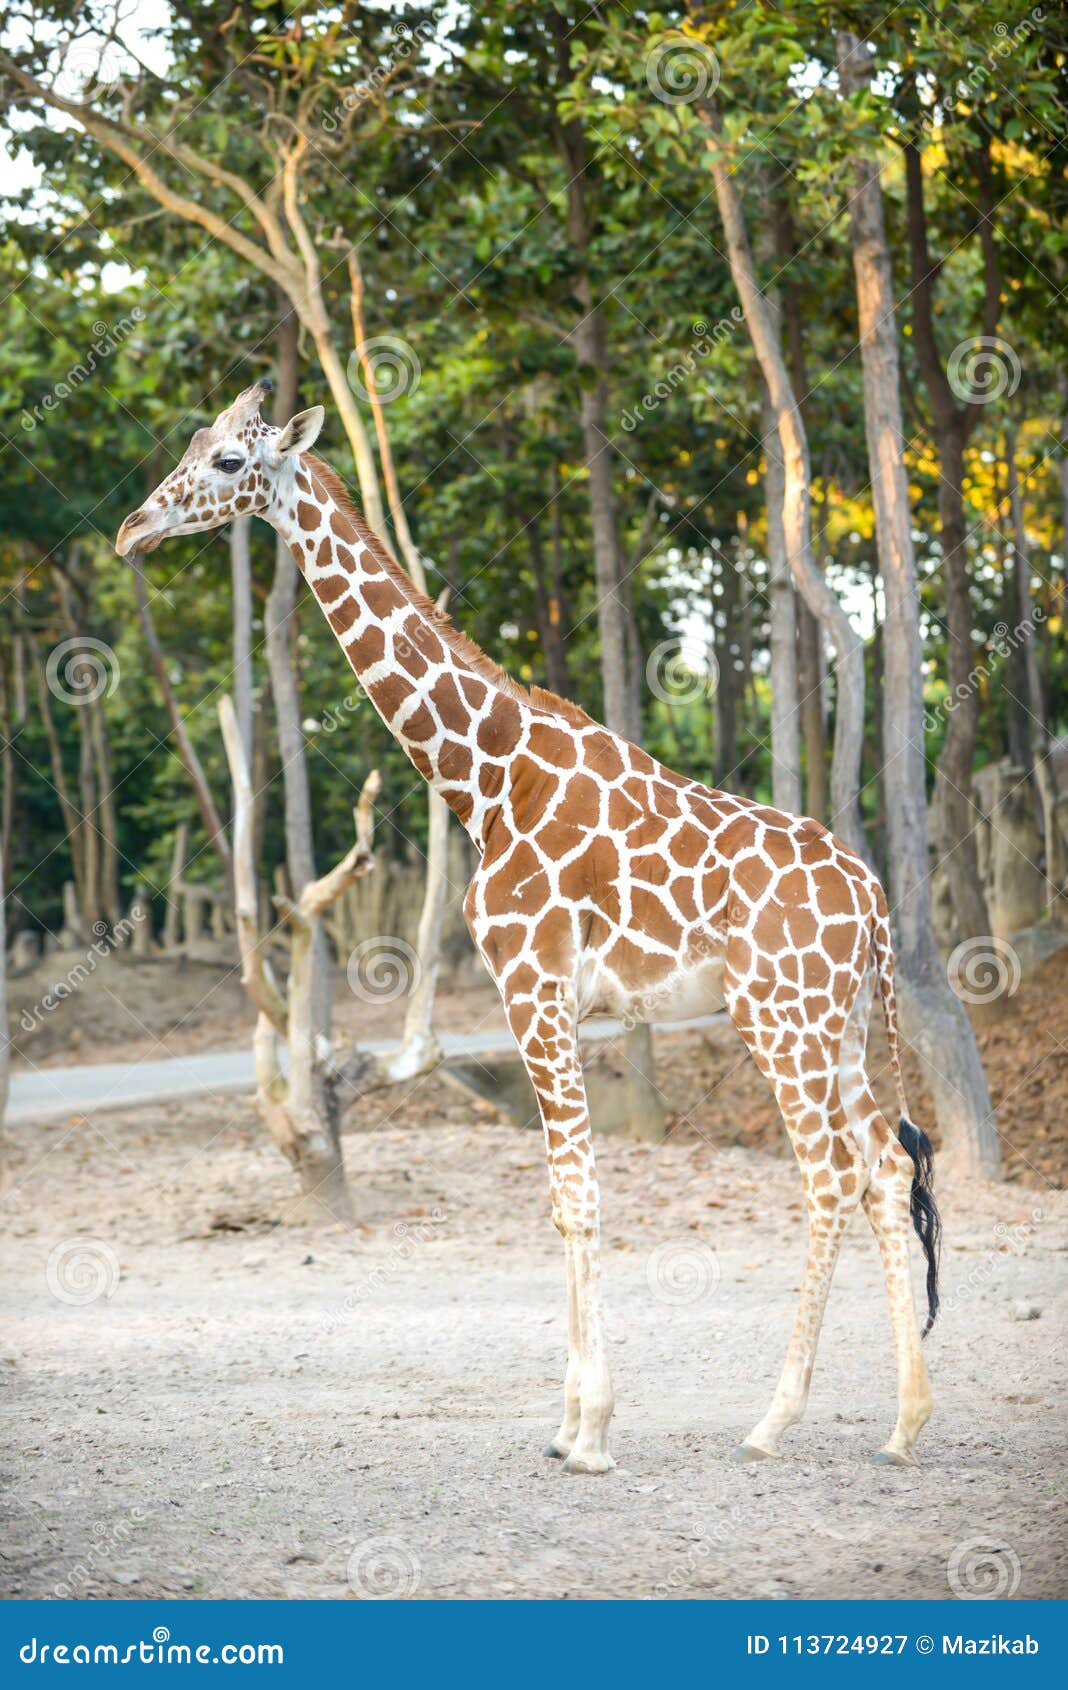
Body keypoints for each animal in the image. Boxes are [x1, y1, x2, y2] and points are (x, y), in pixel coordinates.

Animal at [117, 382, 942, 1473]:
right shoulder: (552, 1004)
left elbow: (578, 1196)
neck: (488, 780)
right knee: (886, 1168)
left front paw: (591, 1430)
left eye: (224, 463)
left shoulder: (534, 990)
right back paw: (904, 1422)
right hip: (838, 1023)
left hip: (780, 1016)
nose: (132, 528)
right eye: (192, 441)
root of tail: (874, 898)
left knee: (831, 1174)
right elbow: (563, 1198)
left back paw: (774, 1419)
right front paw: (566, 1424)